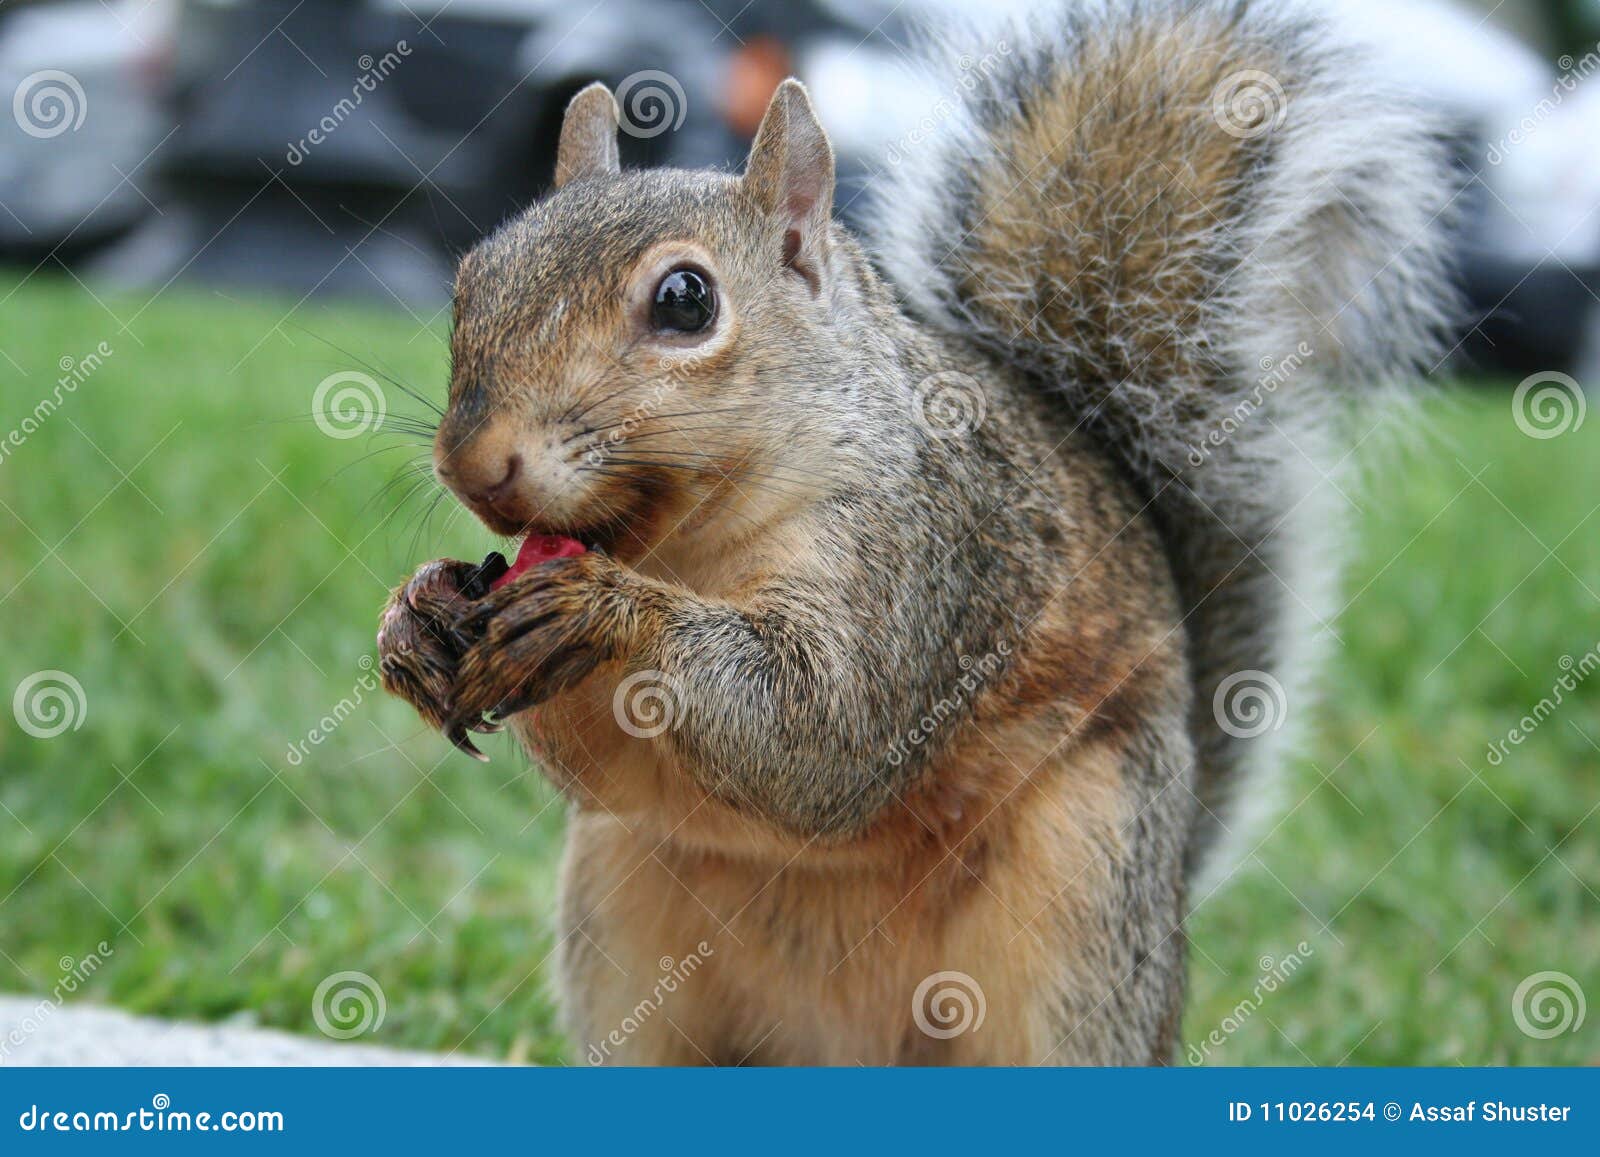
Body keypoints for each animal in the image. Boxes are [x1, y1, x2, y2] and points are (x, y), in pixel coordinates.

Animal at [377, 0, 1456, 1064]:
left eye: (686, 300)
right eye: (471, 277)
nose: (475, 462)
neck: (688, 548)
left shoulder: (926, 553)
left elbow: (825, 730)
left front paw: (604, 611)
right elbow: (602, 762)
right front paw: (418, 616)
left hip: (1083, 892)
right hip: (620, 917)